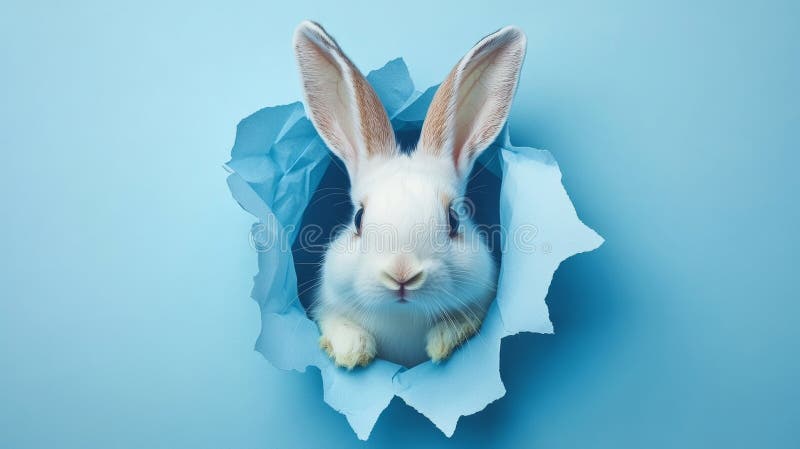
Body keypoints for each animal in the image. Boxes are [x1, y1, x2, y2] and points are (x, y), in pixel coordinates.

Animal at [293, 21, 526, 368]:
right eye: (358, 218)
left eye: (454, 220)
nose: (401, 274)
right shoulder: (324, 306)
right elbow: (337, 323)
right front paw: (353, 350)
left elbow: (464, 321)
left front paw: (441, 342)